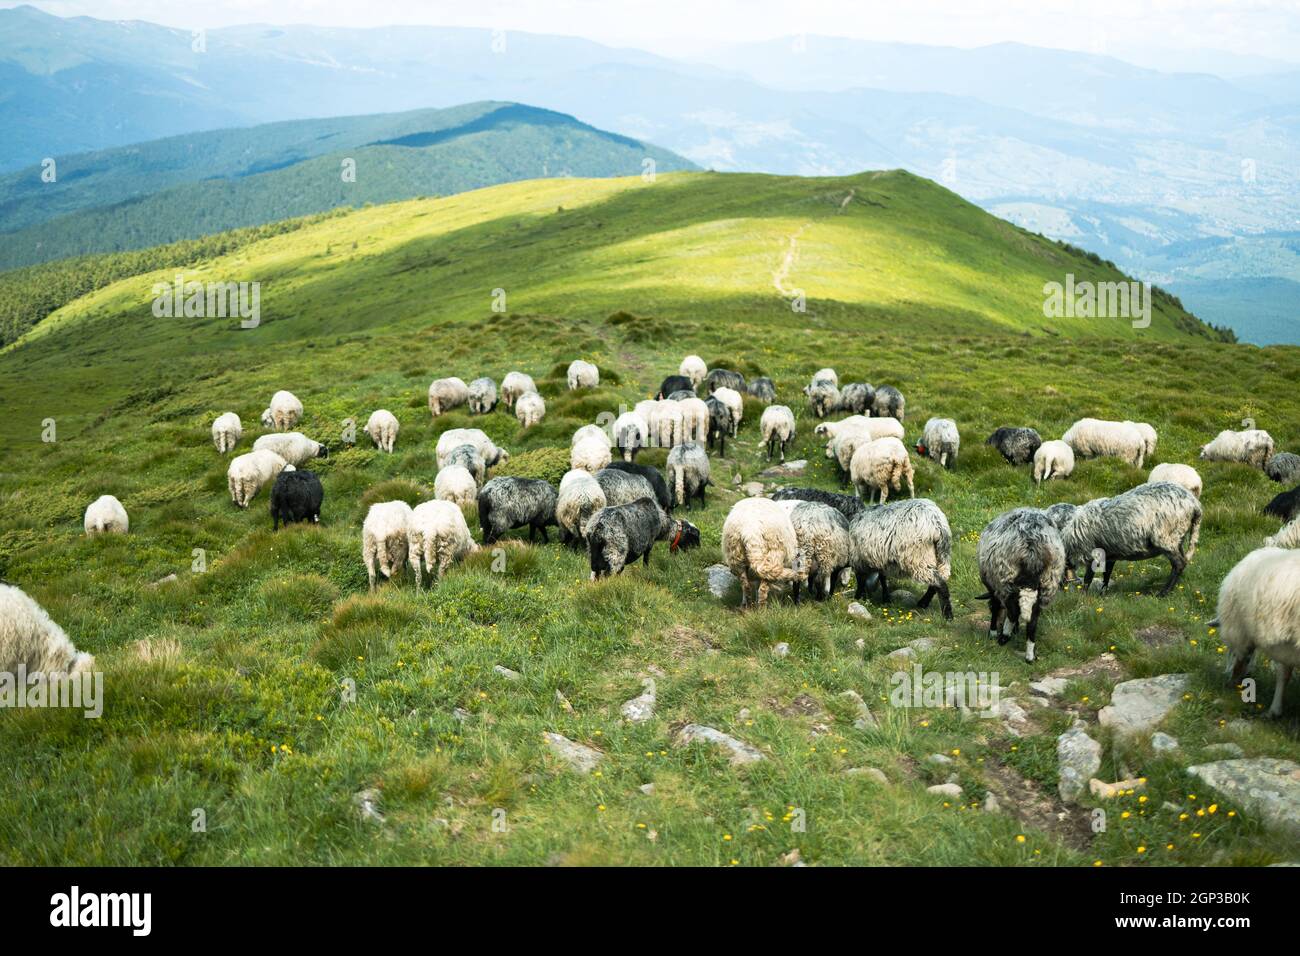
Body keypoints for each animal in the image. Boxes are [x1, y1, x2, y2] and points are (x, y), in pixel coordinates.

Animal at [976, 508, 1067, 662]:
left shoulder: (995, 589)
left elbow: (996, 607)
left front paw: (993, 632)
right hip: (1047, 584)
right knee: (1033, 620)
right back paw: (1030, 655)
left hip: (1006, 579)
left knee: (1013, 612)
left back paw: (1004, 637)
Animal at [1061, 481, 1201, 596]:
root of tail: (1195, 505)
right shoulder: (1110, 554)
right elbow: (1107, 574)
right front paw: (1102, 593)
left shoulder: (1091, 552)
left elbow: (1088, 578)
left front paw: (1083, 596)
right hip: (1178, 537)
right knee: (1182, 561)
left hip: (1165, 536)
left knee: (1179, 564)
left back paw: (1163, 593)